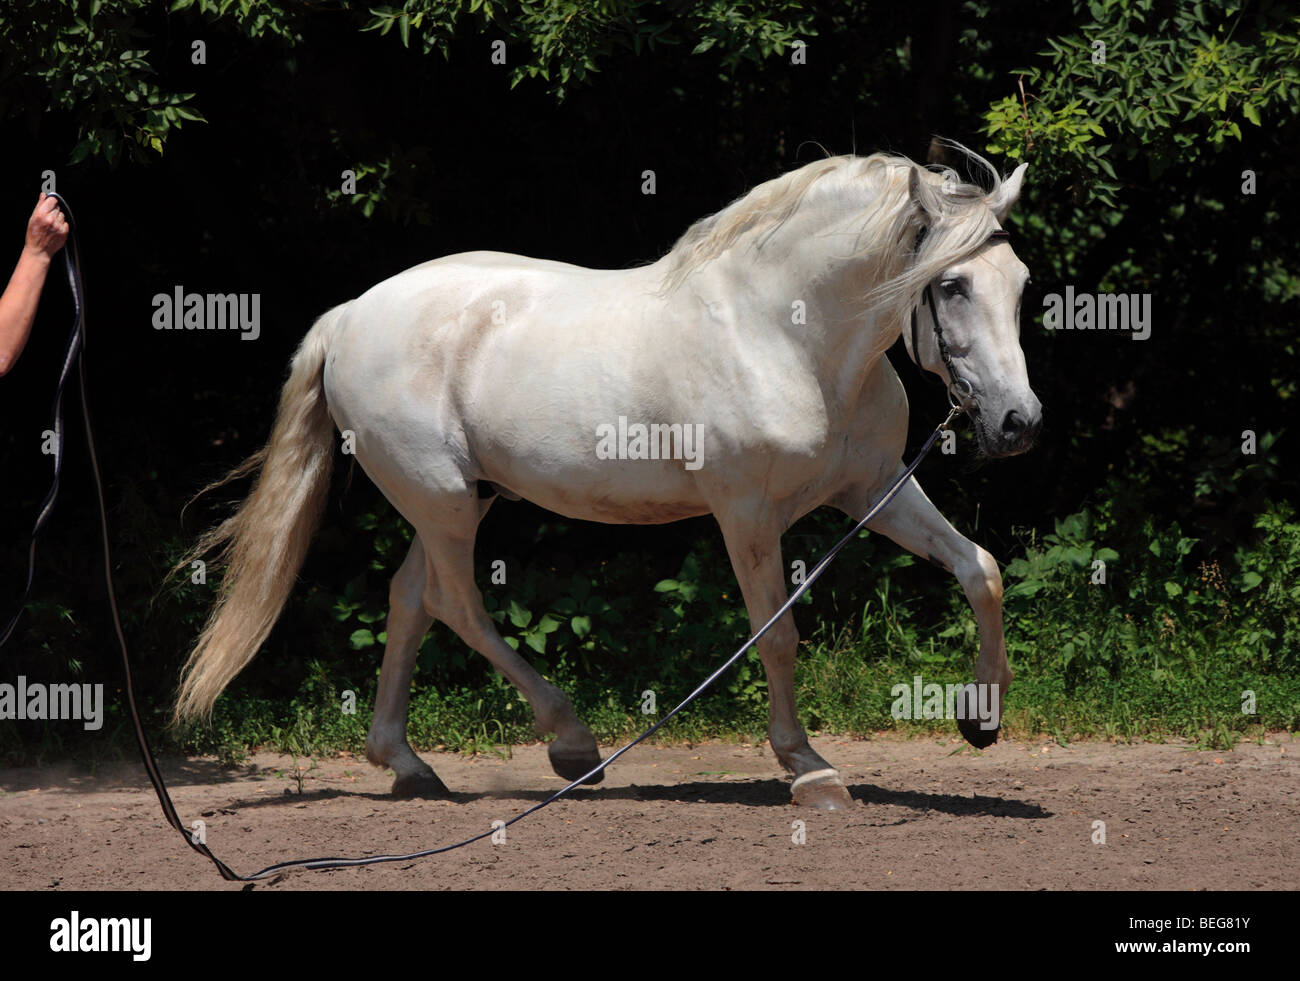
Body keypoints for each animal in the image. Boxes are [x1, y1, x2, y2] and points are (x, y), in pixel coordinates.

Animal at [172, 144, 1040, 812]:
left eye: (1022, 282)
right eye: (952, 284)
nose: (1017, 423)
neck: (784, 335)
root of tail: (350, 314)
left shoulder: (875, 487)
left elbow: (981, 570)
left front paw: (981, 717)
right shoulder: (747, 514)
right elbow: (780, 637)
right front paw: (810, 770)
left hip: (461, 501)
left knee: (410, 598)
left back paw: (411, 765)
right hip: (442, 499)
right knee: (456, 603)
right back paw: (572, 743)